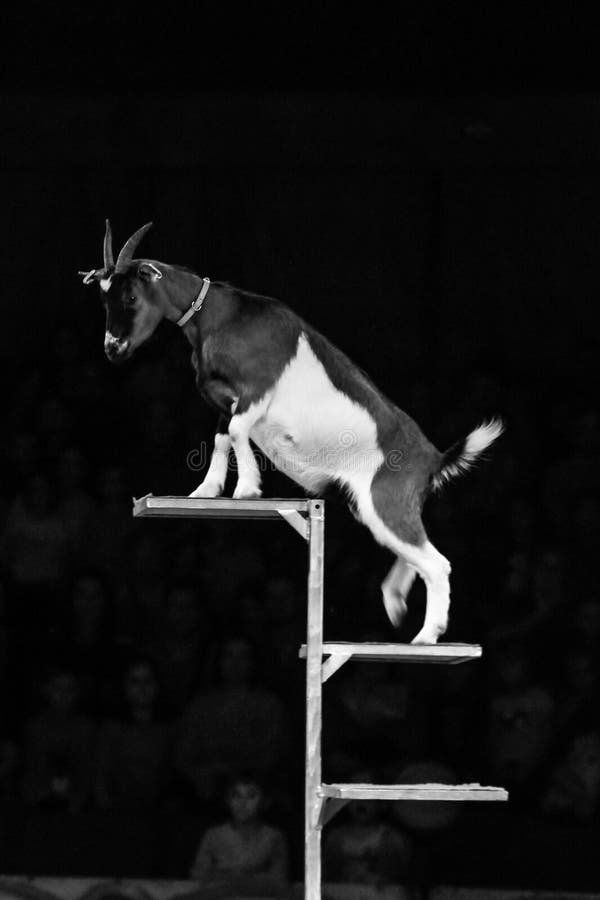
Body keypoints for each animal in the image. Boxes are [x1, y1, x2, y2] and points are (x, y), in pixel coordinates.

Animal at [80, 220, 503, 644]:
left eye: (131, 295)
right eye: (103, 300)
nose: (113, 348)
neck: (220, 317)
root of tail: (433, 458)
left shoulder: (256, 391)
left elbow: (237, 431)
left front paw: (247, 488)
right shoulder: (222, 400)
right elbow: (220, 438)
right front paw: (206, 490)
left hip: (384, 500)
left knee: (436, 564)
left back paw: (426, 636)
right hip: (374, 508)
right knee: (412, 551)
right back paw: (395, 600)